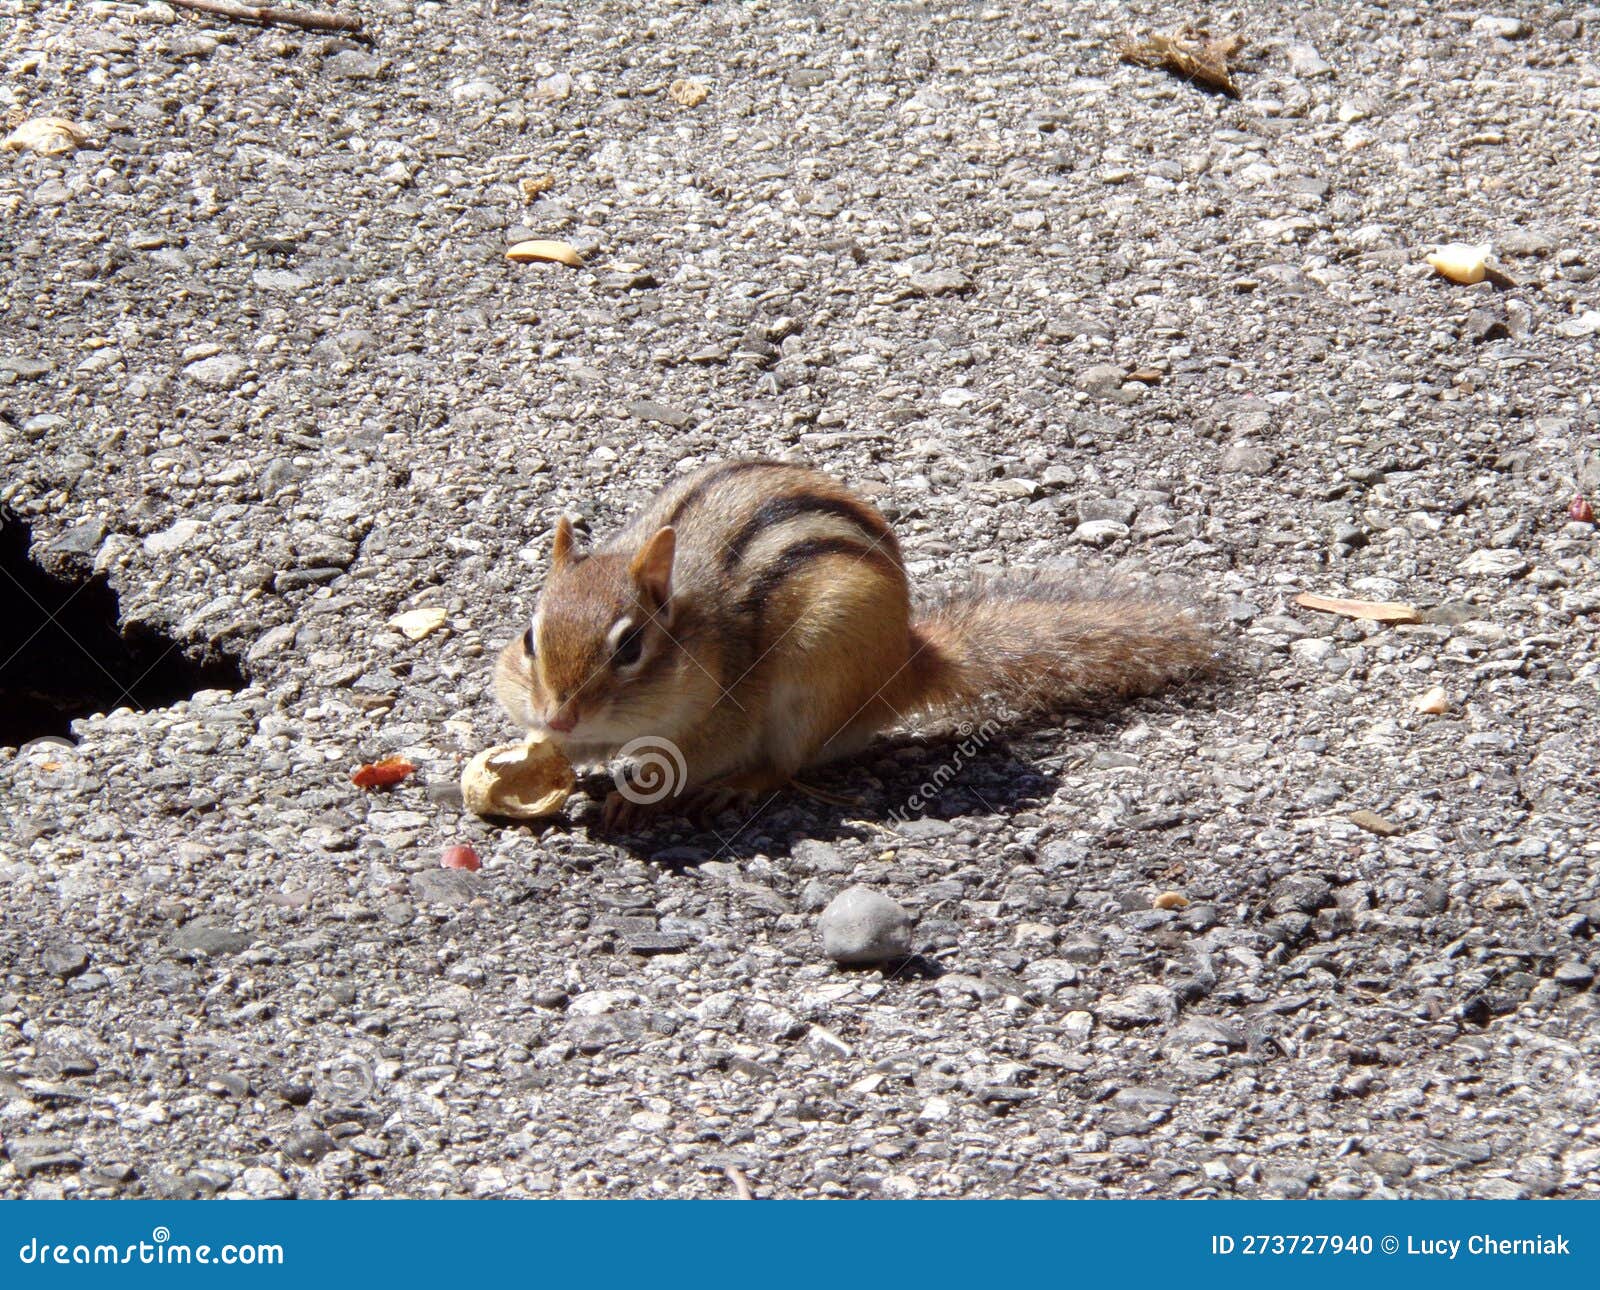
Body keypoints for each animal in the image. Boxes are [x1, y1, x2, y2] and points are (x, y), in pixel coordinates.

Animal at [493, 459, 1217, 828]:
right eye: (529, 636)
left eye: (629, 649)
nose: (561, 716)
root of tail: (904, 662)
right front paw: (532, 755)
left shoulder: (730, 708)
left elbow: (693, 756)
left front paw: (630, 791)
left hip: (815, 680)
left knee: (787, 763)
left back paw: (743, 784)